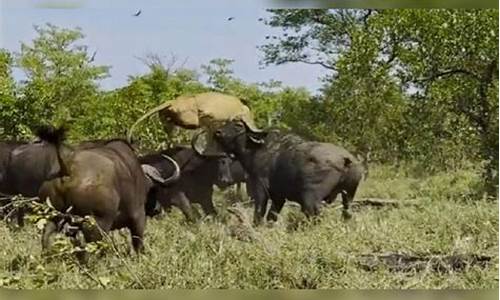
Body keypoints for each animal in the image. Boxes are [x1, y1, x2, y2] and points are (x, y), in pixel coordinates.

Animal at [36, 125, 180, 254]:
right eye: (153, 189)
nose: (158, 209)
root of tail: (67, 168)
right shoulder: (138, 217)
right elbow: (138, 245)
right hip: (98, 223)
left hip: (52, 218)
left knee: (47, 240)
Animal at [193, 120, 366, 224]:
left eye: (238, 125)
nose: (217, 132)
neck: (258, 148)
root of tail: (346, 158)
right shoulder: (278, 197)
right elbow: (272, 216)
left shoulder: (259, 189)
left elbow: (259, 213)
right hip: (348, 196)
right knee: (347, 213)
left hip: (311, 200)